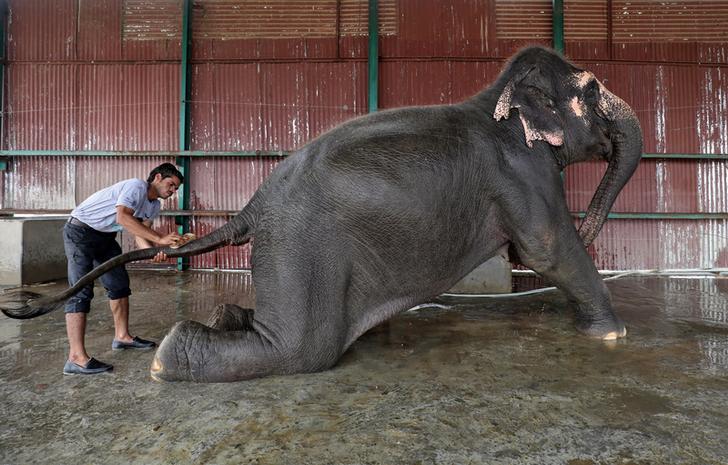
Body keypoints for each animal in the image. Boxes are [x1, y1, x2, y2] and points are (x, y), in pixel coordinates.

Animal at [1, 46, 643, 382]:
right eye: (593, 87)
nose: (593, 221)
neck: (500, 101)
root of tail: (255, 204)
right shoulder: (522, 172)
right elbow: (544, 247)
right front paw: (614, 336)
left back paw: (226, 317)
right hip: (302, 245)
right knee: (299, 350)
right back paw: (166, 361)